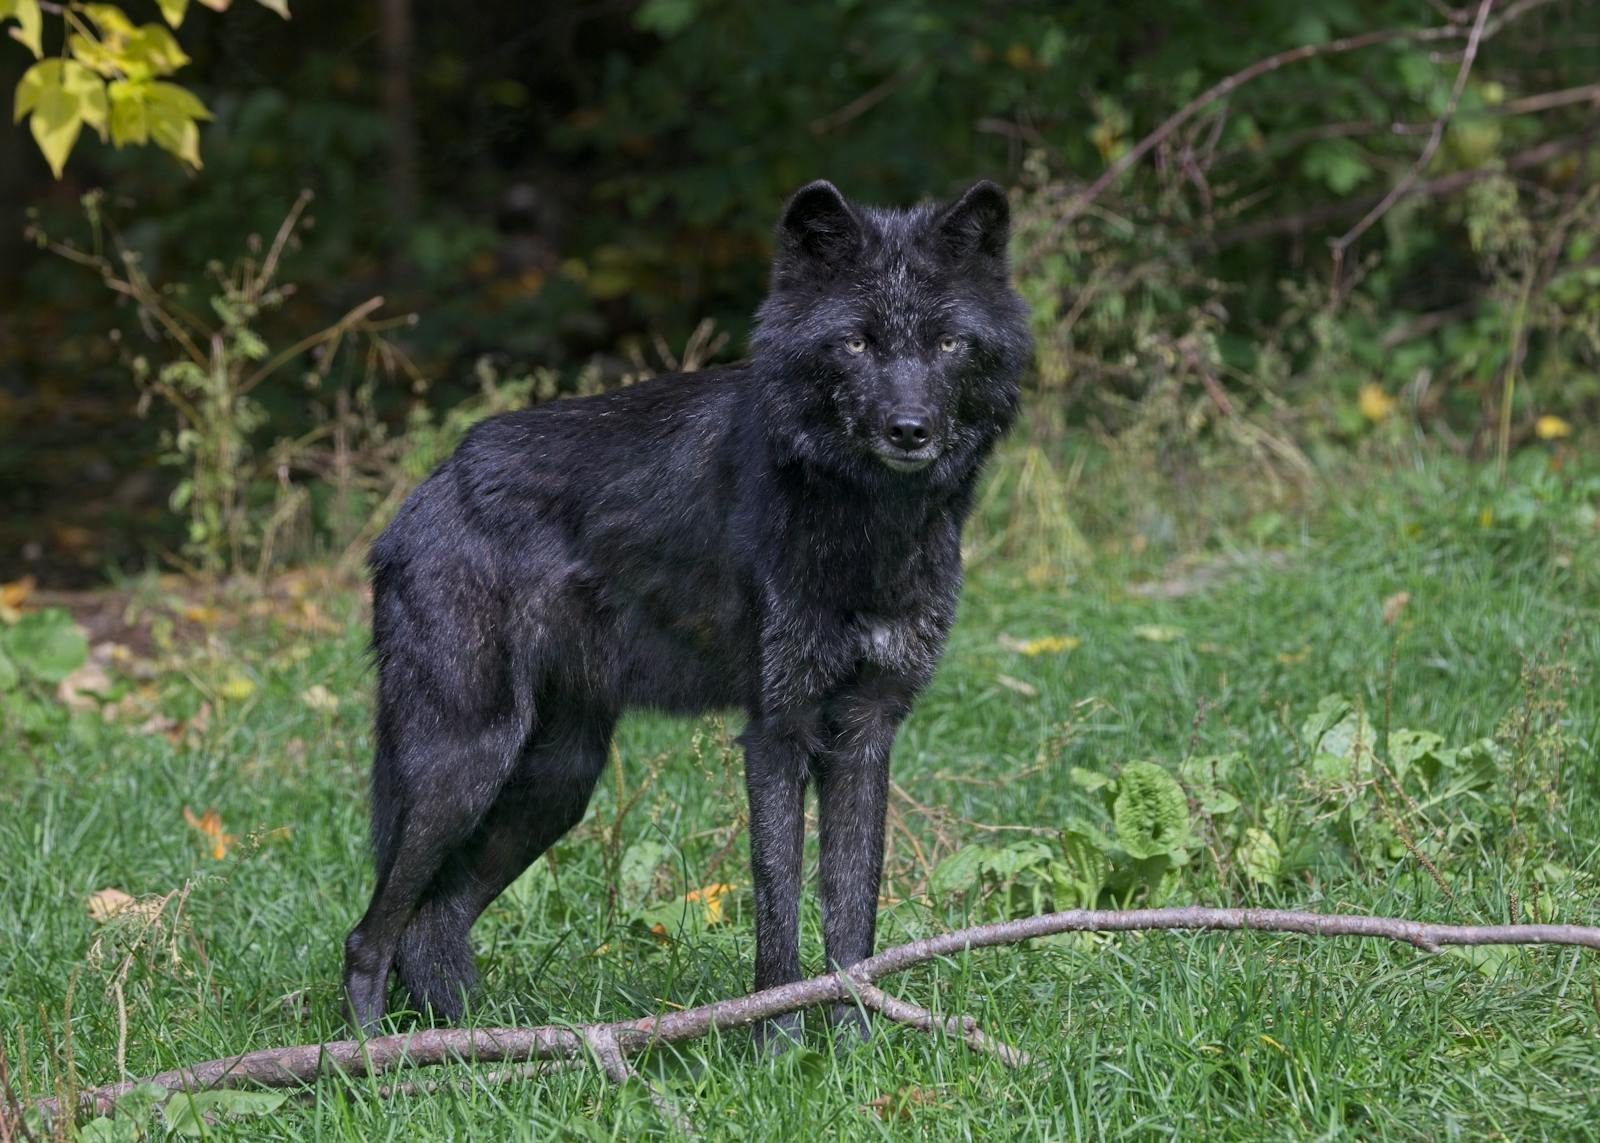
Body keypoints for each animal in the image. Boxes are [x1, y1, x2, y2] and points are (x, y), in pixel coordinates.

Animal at [342, 179, 1032, 1045]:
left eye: (946, 344)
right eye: (855, 343)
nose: (910, 429)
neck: (867, 530)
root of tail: (420, 498)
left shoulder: (867, 731)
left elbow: (853, 916)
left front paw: (857, 1042)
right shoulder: (776, 730)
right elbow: (778, 908)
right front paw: (778, 1045)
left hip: (554, 781)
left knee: (430, 925)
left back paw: (473, 1049)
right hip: (462, 764)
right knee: (370, 934)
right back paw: (370, 1057)